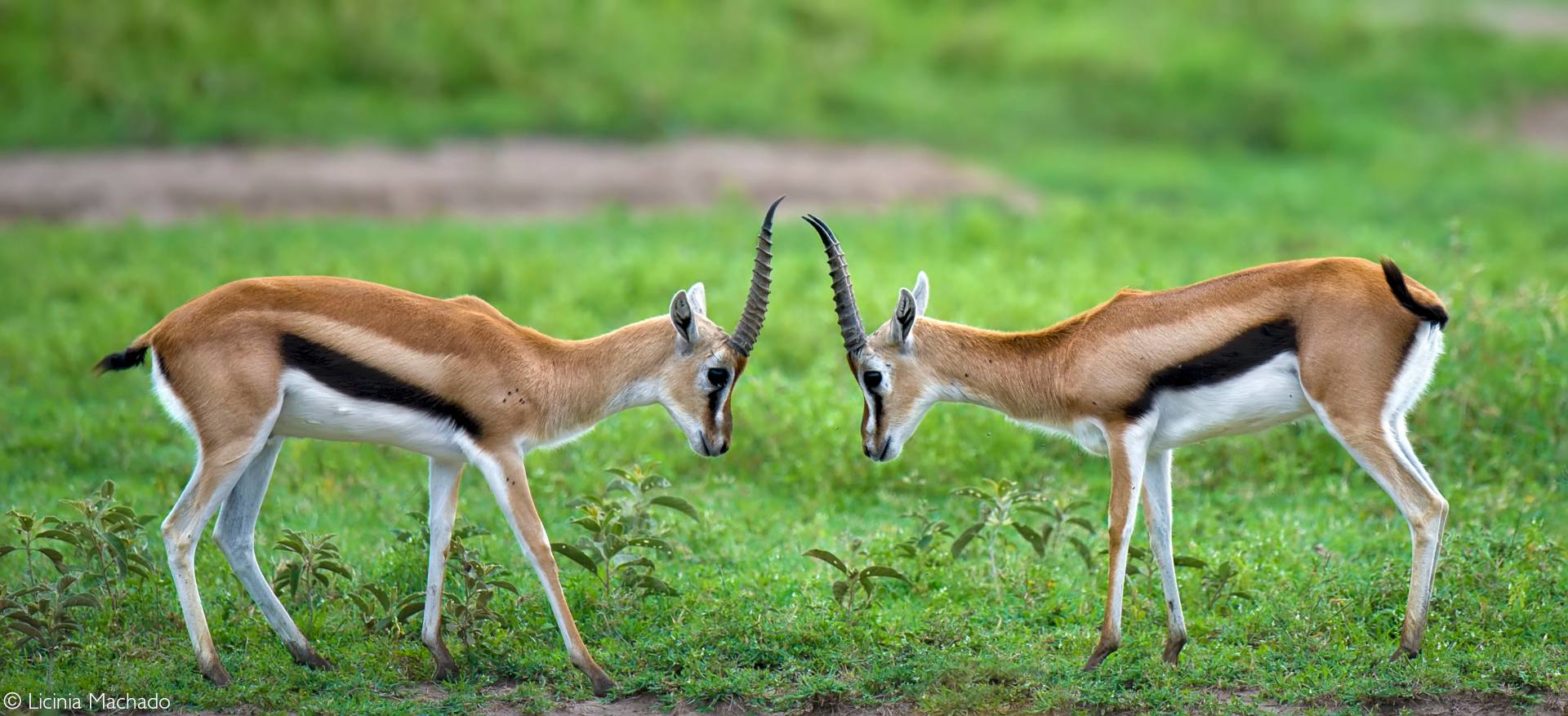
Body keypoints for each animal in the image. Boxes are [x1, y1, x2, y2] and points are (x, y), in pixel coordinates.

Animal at [93, 199, 782, 695]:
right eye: (718, 373)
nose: (718, 443)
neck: (537, 363)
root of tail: (163, 329)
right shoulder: (502, 453)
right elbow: (539, 548)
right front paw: (595, 671)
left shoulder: (448, 458)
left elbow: (440, 537)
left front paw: (441, 657)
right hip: (233, 445)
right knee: (180, 531)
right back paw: (215, 670)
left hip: (267, 443)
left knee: (234, 536)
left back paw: (310, 655)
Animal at [804, 215, 1450, 669]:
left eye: (872, 376)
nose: (873, 445)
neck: (1069, 353)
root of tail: (1423, 299)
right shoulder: (1160, 447)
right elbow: (1163, 532)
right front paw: (1173, 647)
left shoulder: (1124, 434)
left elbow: (1119, 528)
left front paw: (1101, 650)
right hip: (1392, 423)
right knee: (1440, 504)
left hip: (1352, 422)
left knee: (1421, 507)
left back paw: (1404, 648)